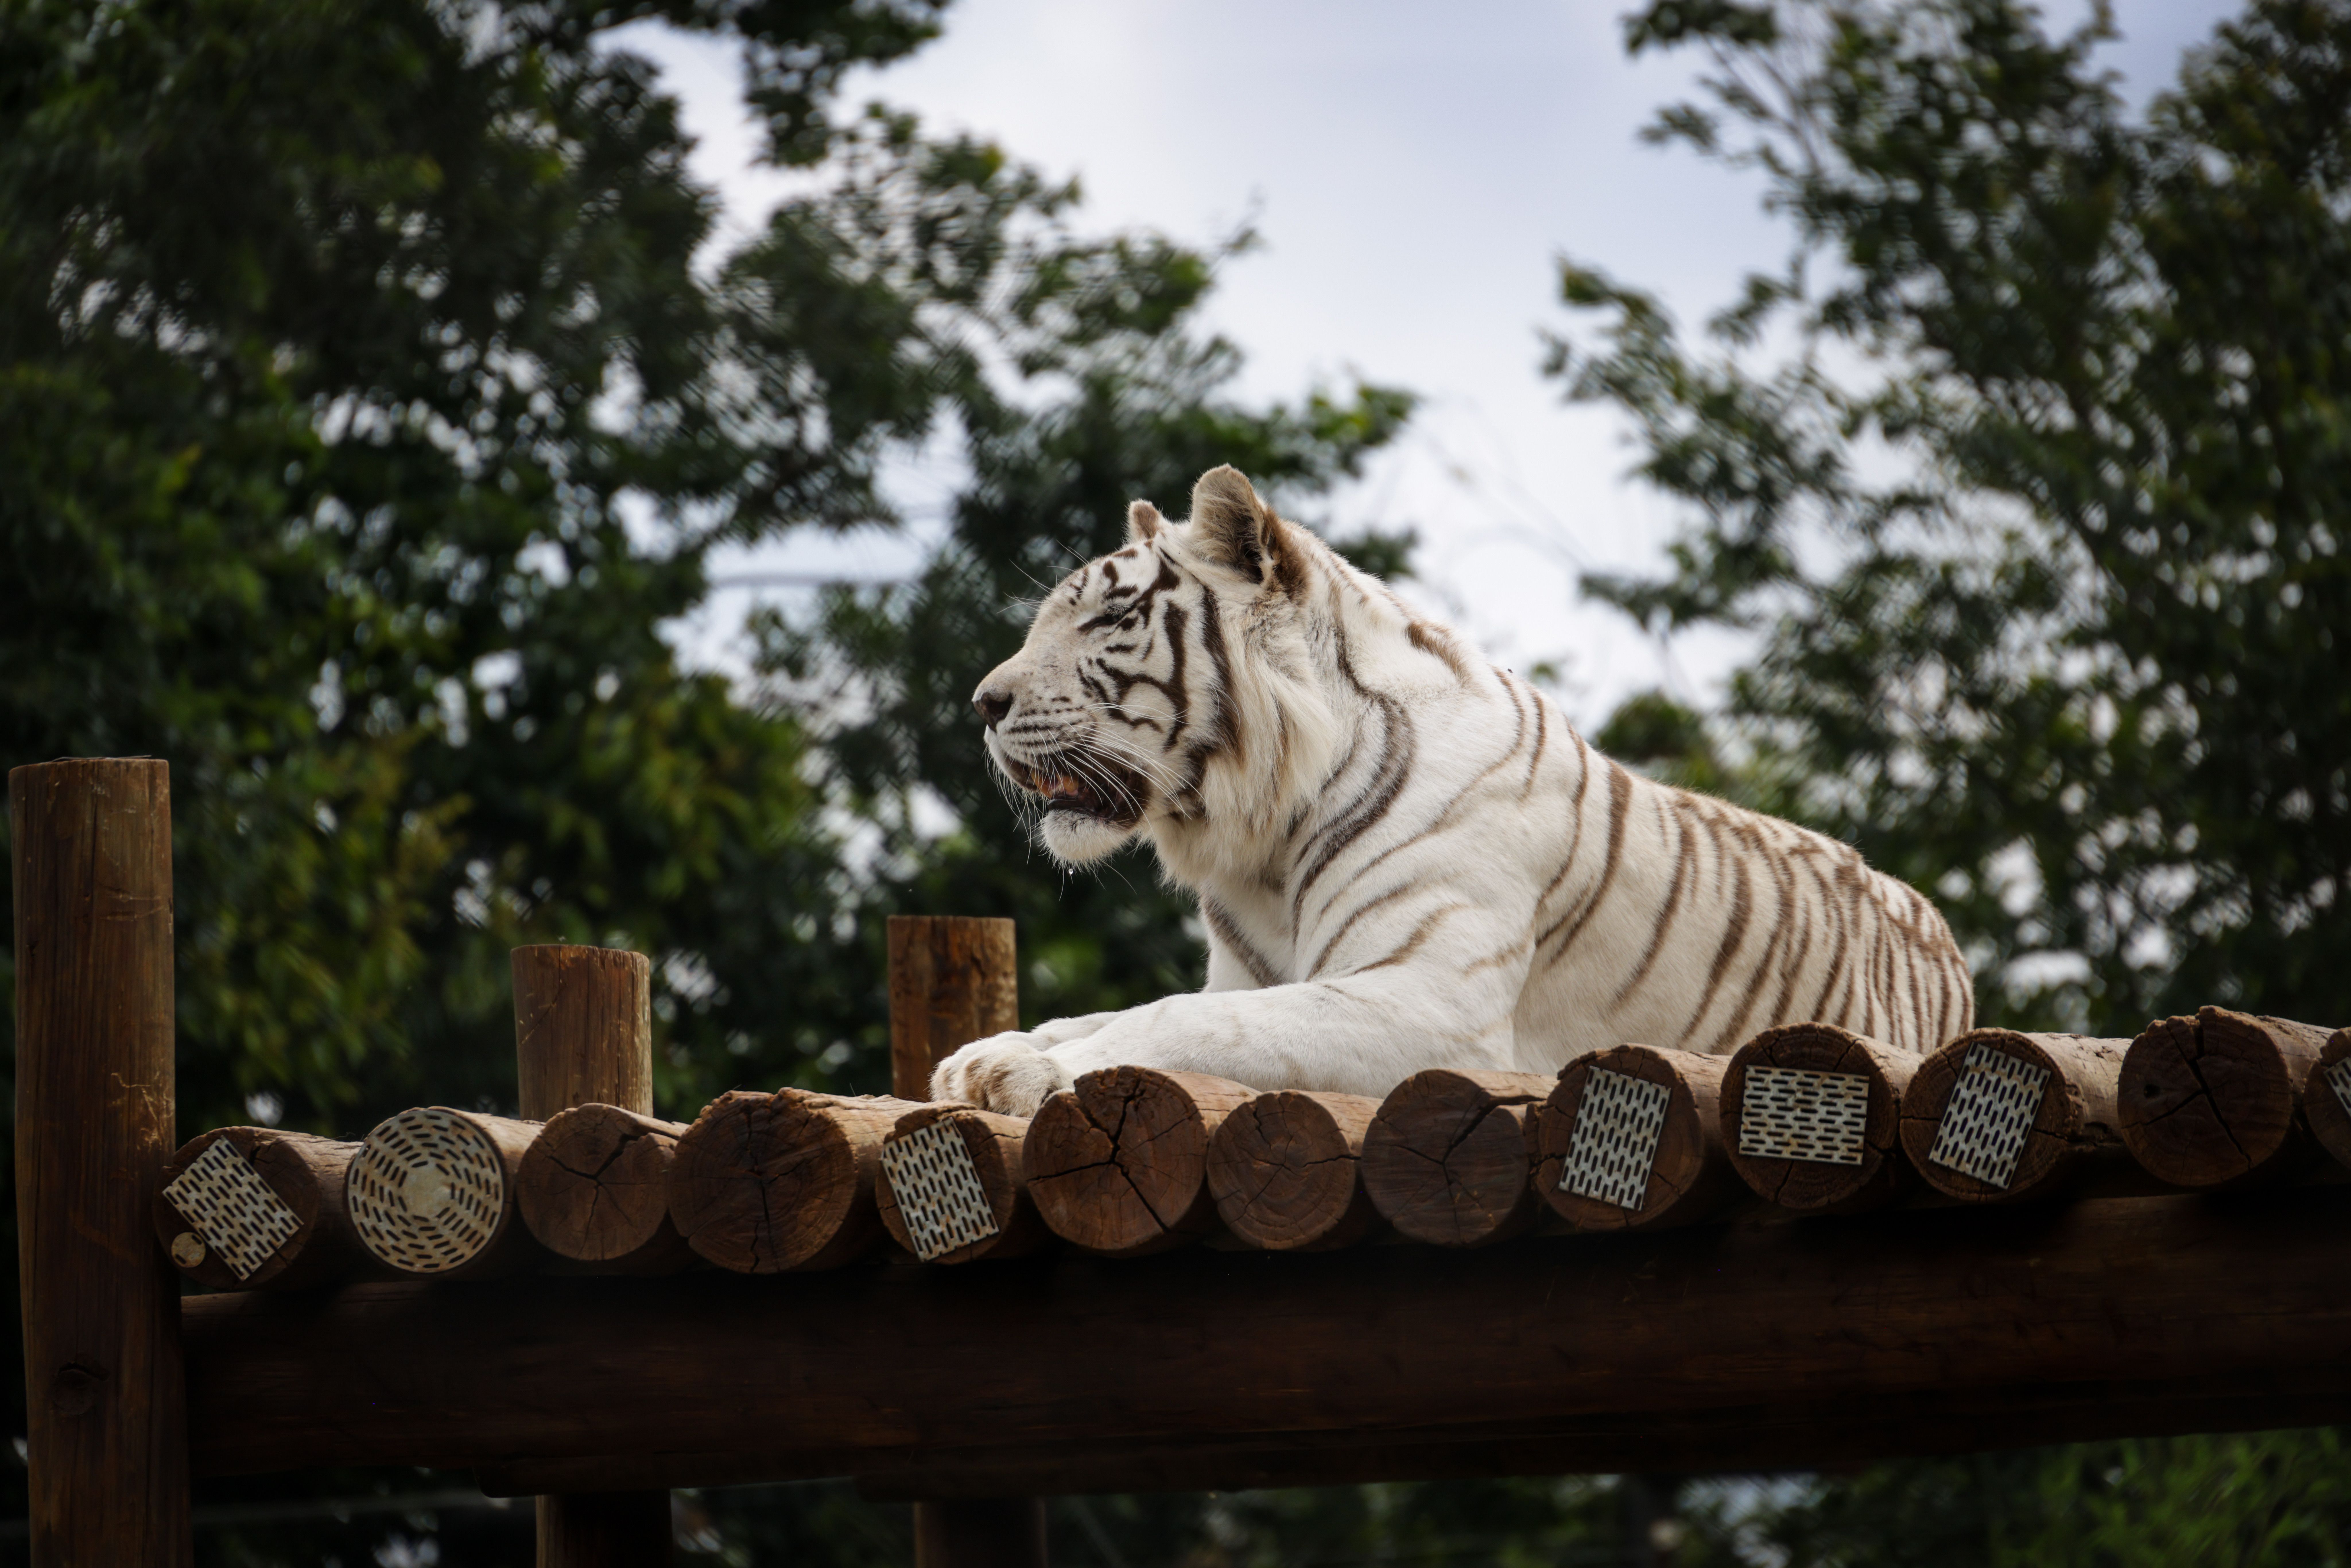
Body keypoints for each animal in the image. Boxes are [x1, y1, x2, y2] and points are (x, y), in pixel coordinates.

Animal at [935, 465, 1974, 1115]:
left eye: (1109, 619)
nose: (980, 703)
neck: (1264, 838)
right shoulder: (1260, 971)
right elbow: (1109, 1014)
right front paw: (979, 1057)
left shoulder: (1428, 1006)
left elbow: (1182, 1020)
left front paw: (1014, 1072)